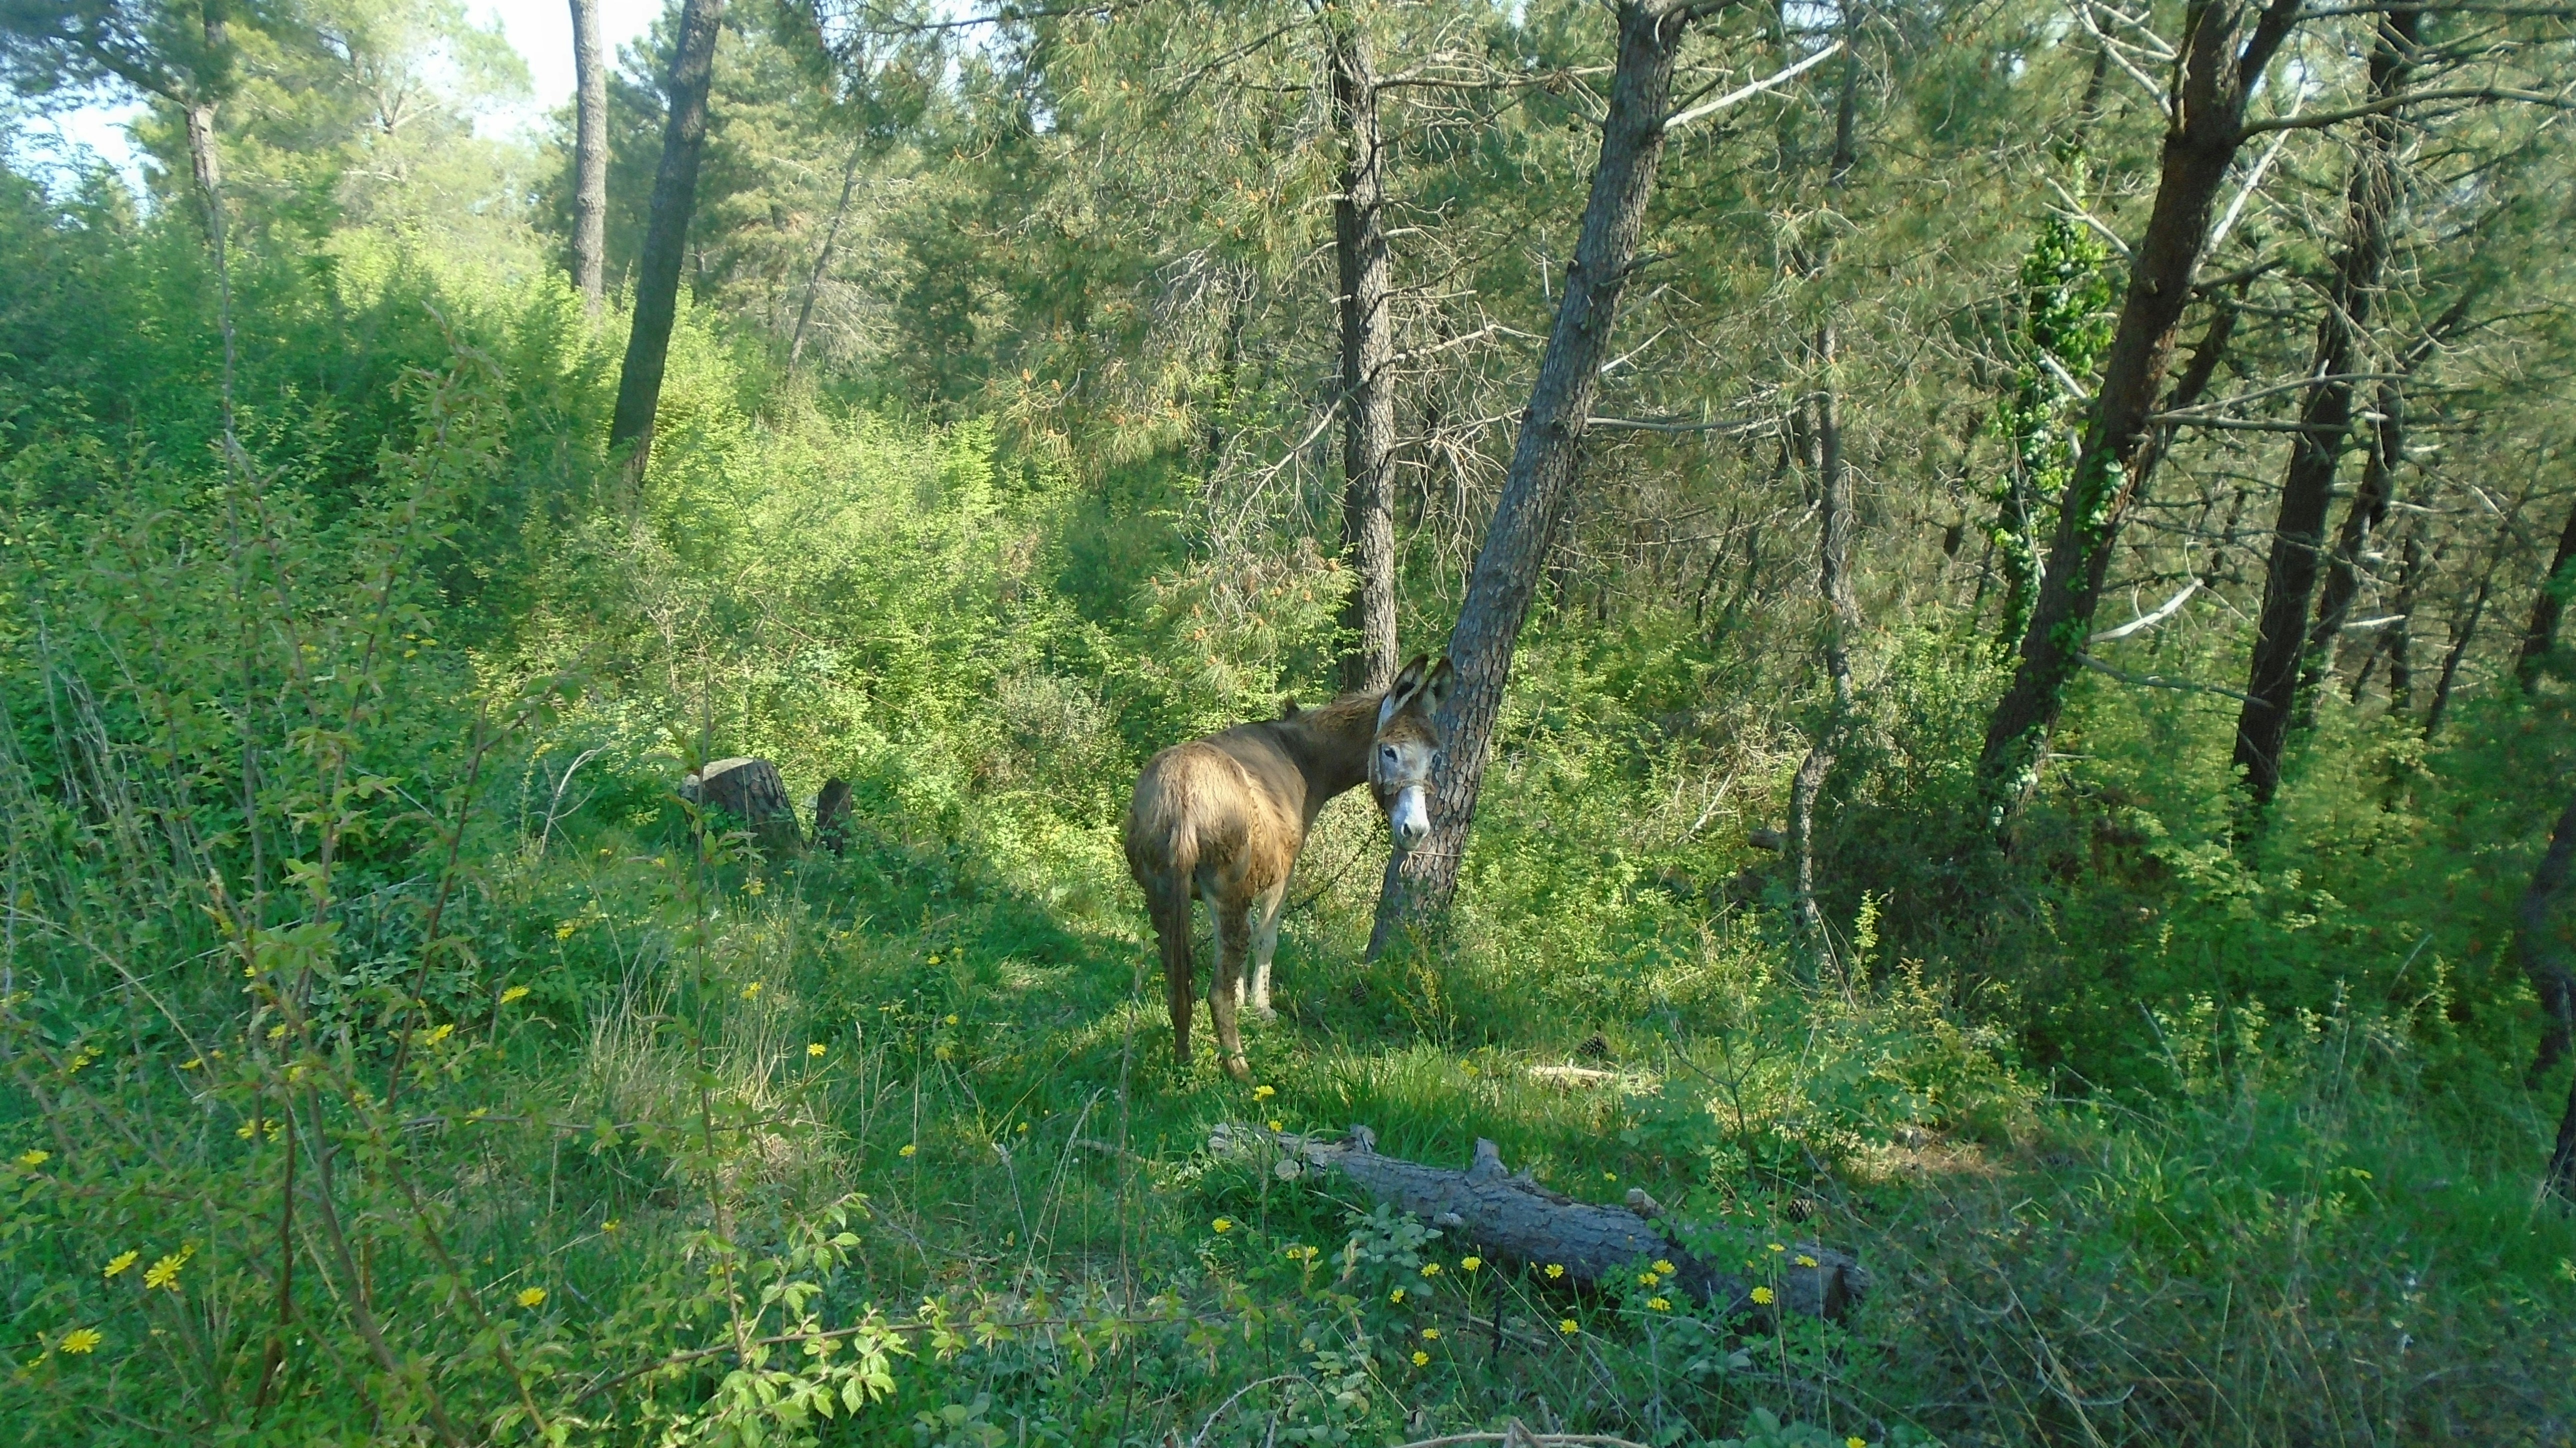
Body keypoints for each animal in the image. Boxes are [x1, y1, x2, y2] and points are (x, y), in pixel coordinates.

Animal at [1124, 654, 1453, 1079]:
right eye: (1389, 751)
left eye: (1435, 756)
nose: (1416, 831)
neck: (1305, 758)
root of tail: (1181, 792)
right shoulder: (1282, 872)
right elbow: (1268, 938)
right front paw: (1261, 1008)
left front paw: (1247, 998)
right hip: (1224, 894)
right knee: (1214, 992)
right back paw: (1239, 1071)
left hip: (1162, 891)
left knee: (1178, 984)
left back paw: (1184, 1066)